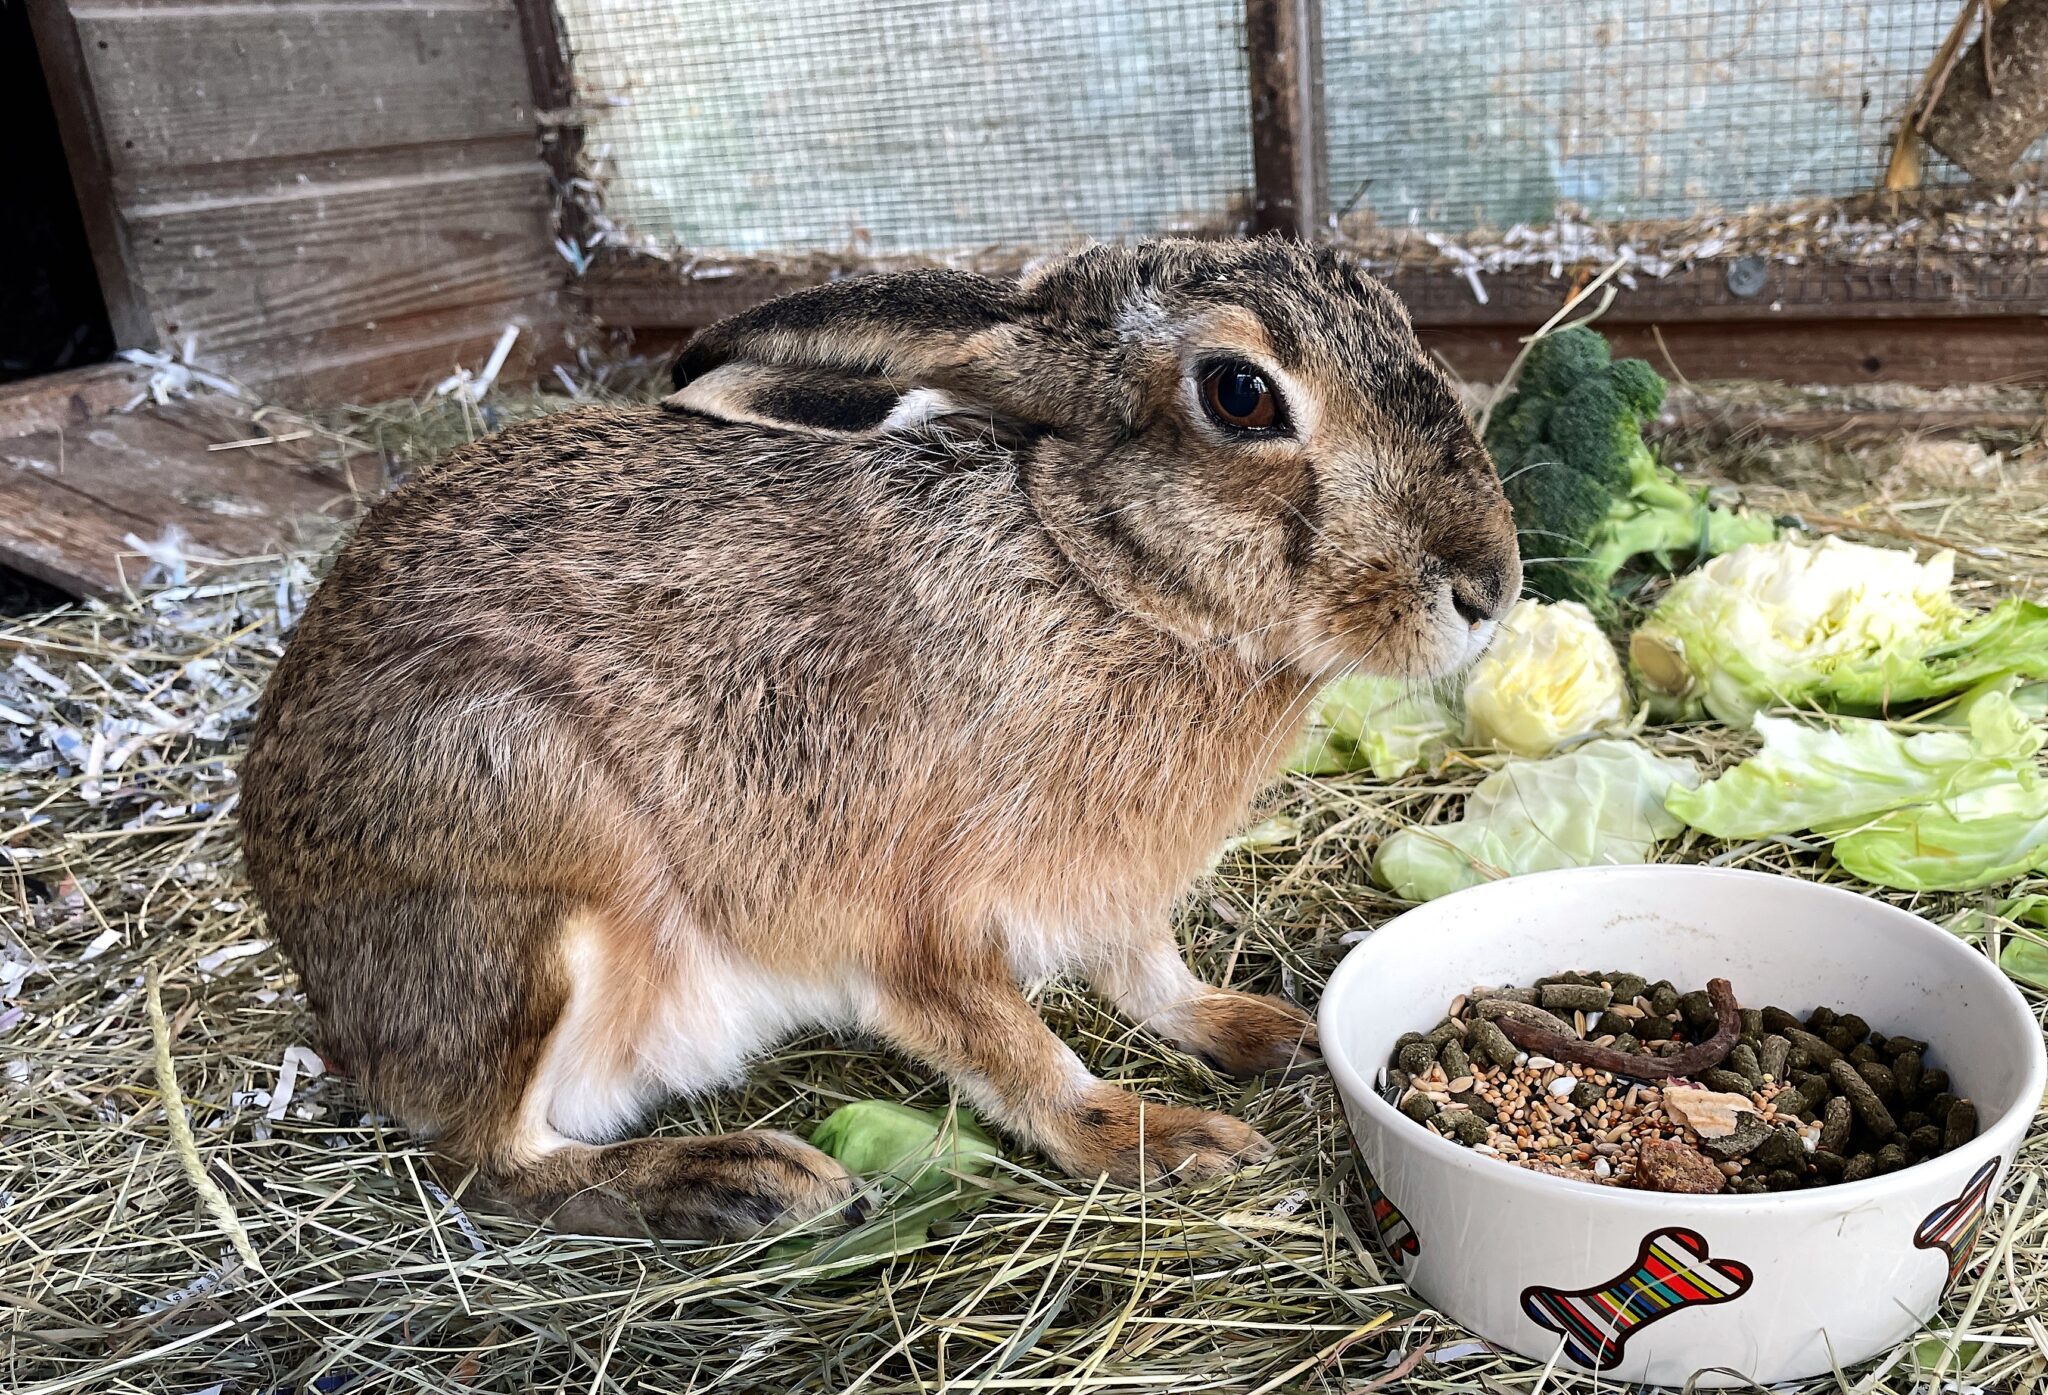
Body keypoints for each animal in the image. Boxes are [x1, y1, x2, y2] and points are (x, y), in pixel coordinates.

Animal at [239, 238, 1520, 1241]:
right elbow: (1013, 1049)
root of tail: (337, 1007)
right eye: (1240, 394)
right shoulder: (920, 919)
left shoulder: (1113, 894)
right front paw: (1160, 1140)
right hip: (519, 867)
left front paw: (1256, 1029)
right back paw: (741, 1181)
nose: (1486, 590)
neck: (1095, 568)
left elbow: (1148, 975)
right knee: (490, 1161)